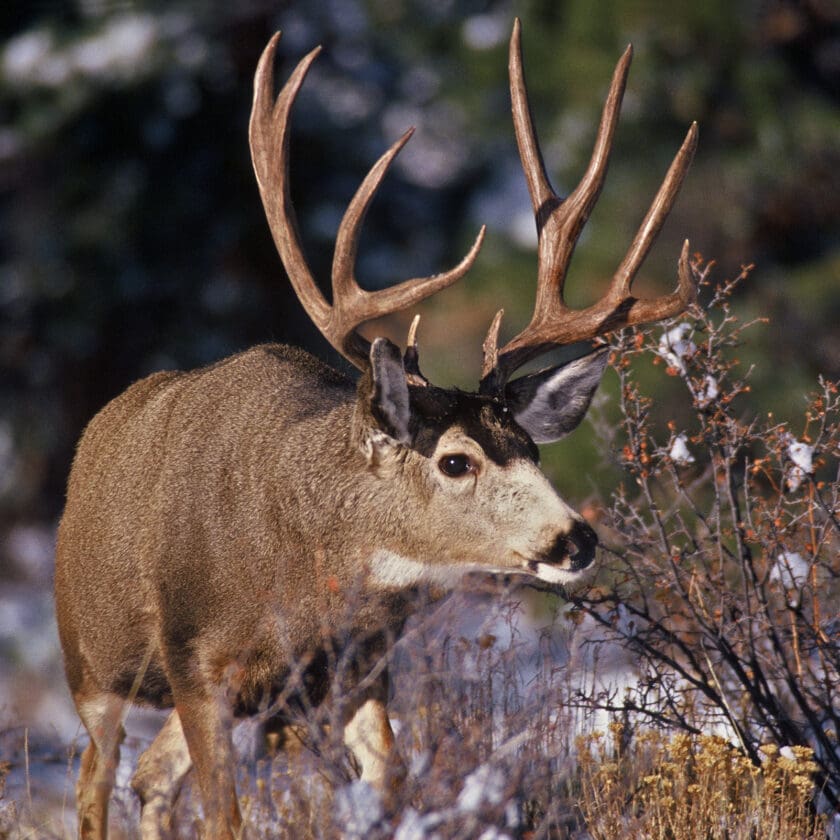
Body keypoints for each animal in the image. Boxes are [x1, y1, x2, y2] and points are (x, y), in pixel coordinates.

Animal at [54, 19, 697, 840]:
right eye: (456, 461)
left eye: (529, 448)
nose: (574, 540)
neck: (302, 580)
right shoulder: (196, 660)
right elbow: (226, 815)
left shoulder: (362, 663)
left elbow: (388, 780)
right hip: (90, 663)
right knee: (94, 778)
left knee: (147, 777)